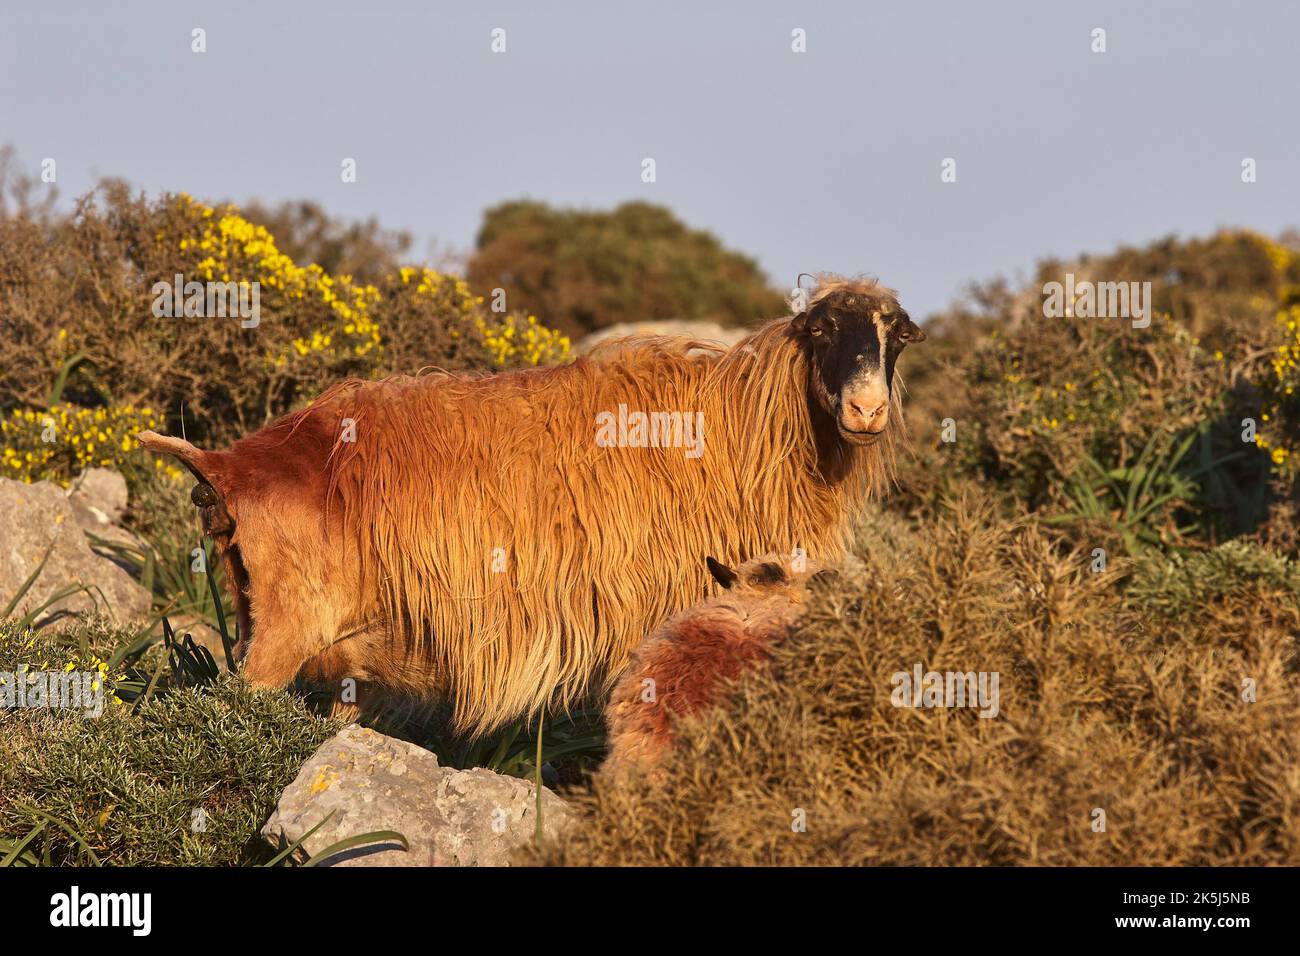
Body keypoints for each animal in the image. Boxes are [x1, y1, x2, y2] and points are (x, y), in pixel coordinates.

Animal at [137, 274, 923, 734]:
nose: (866, 408)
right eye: (823, 330)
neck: (745, 428)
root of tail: (230, 465)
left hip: (272, 618)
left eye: (896, 336)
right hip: (286, 627)